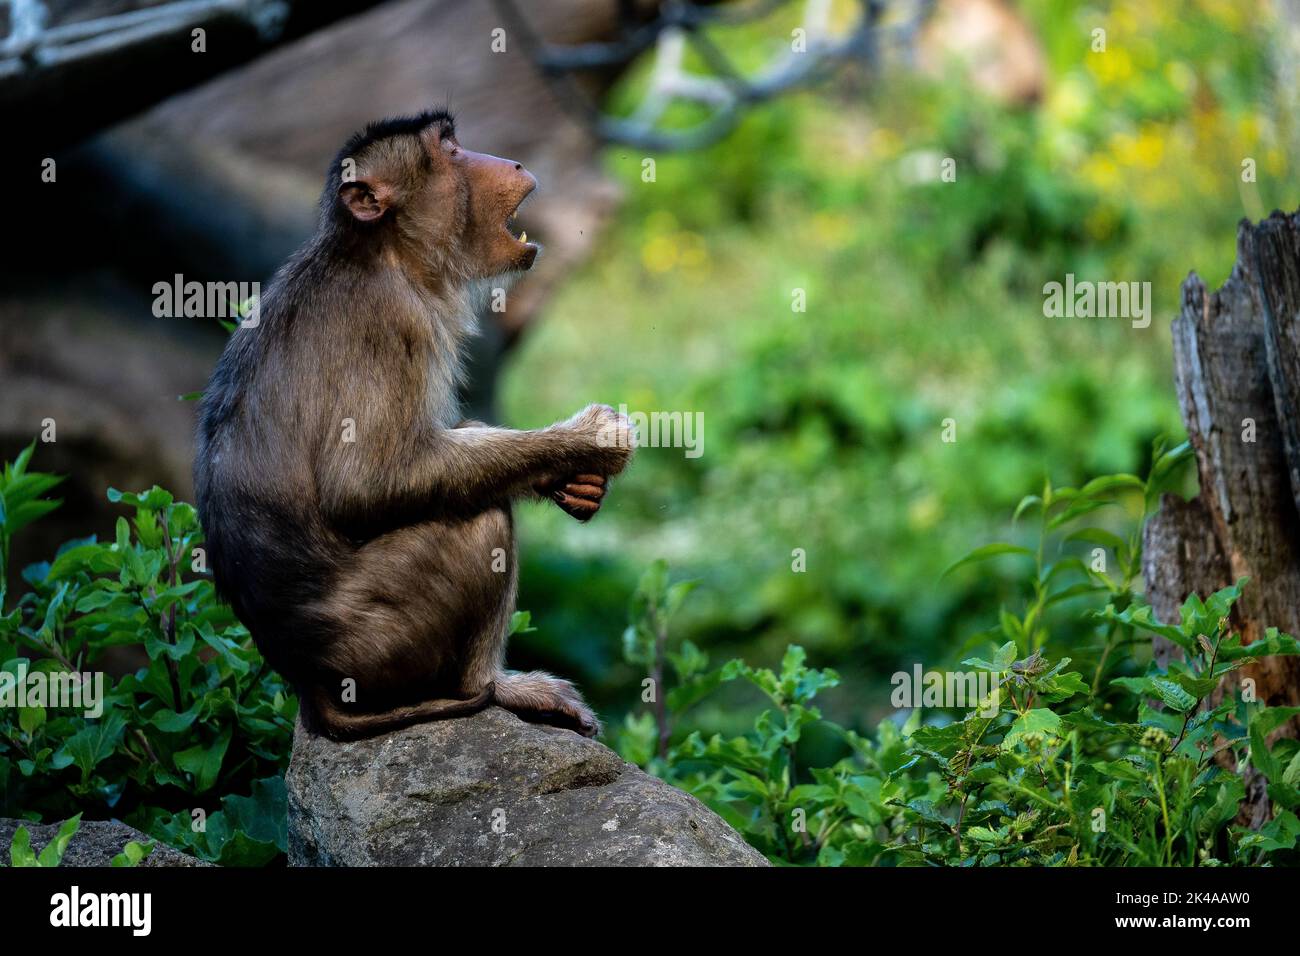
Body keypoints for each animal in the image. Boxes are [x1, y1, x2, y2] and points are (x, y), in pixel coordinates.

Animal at [194, 110, 635, 741]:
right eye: (449, 151)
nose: (514, 162)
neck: (387, 253)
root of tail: (307, 678)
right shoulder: (392, 321)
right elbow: (366, 484)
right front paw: (588, 440)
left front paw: (574, 480)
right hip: (378, 641)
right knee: (480, 520)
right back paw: (491, 685)